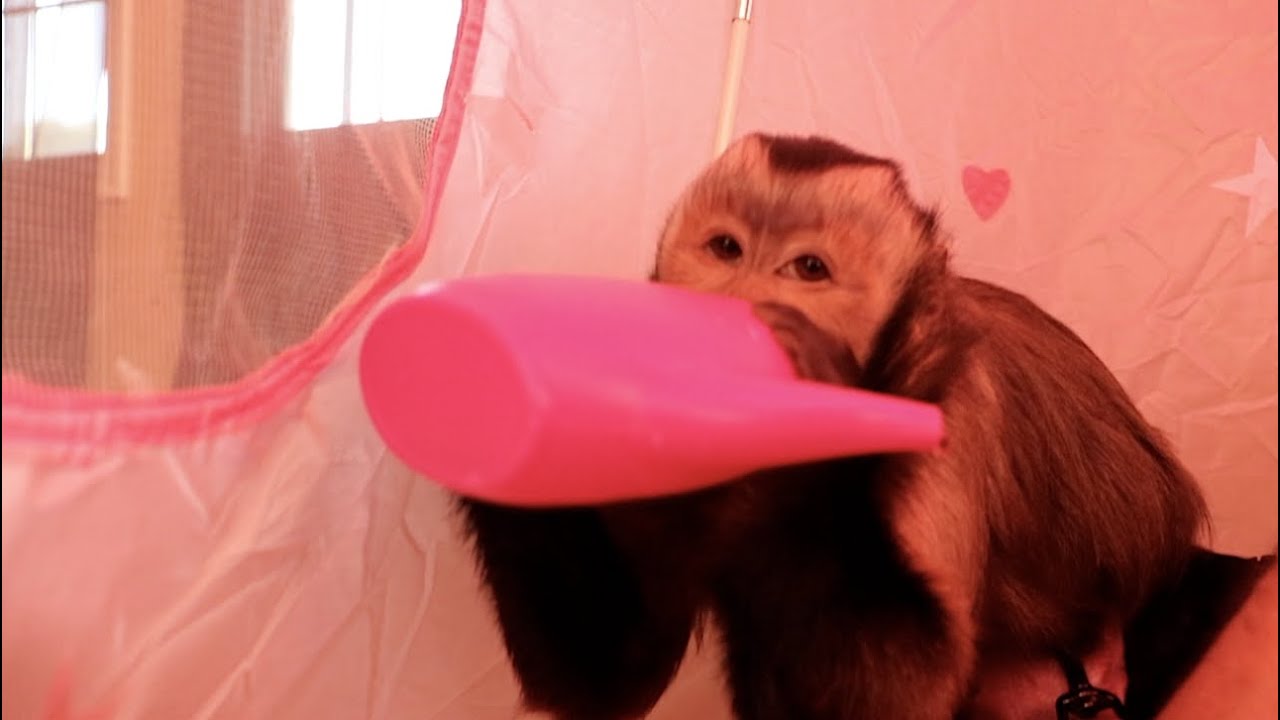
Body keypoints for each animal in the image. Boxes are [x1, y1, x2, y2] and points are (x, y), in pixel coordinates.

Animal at [456, 133, 1220, 719]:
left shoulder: (946, 411)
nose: (738, 305)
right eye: (726, 250)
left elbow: (905, 691)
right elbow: (610, 680)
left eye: (808, 269)